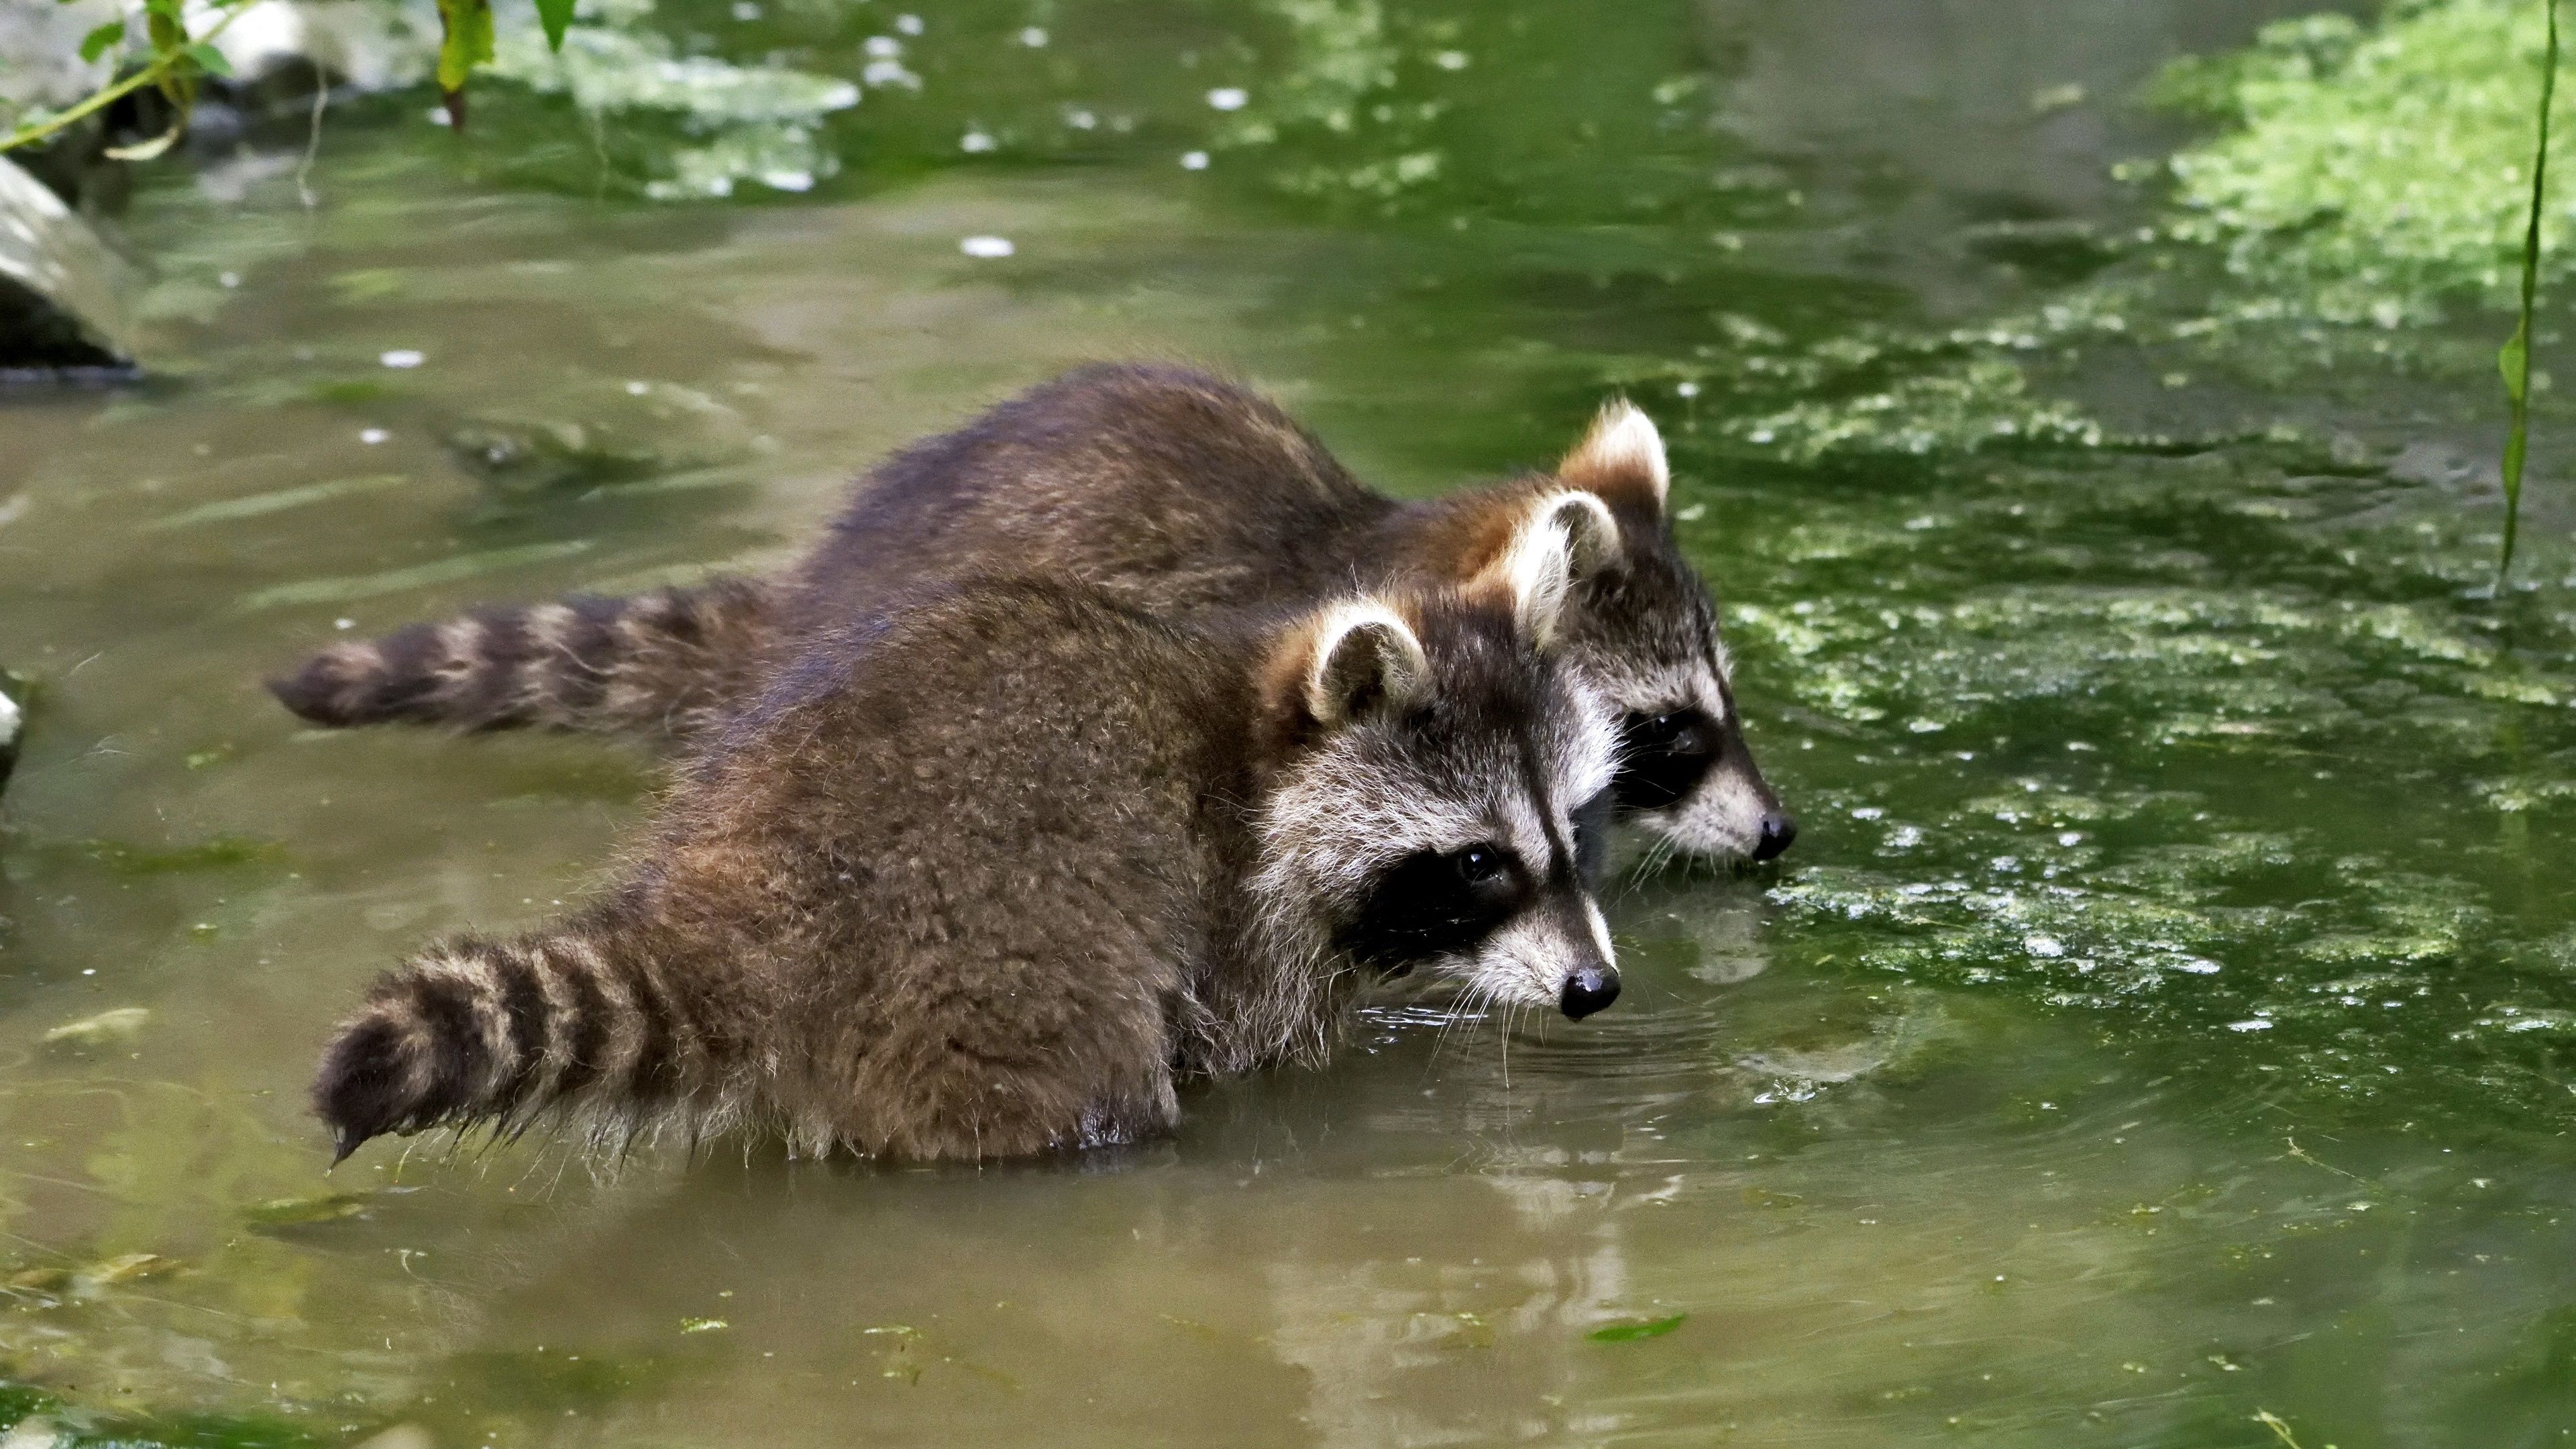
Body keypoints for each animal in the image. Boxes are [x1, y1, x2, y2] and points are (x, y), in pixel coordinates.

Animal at [311, 502, 1624, 1165]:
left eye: (1576, 829)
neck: (1252, 749)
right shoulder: (1238, 922)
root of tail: (737, 911)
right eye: (1476, 862)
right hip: (987, 966)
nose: (1596, 988)